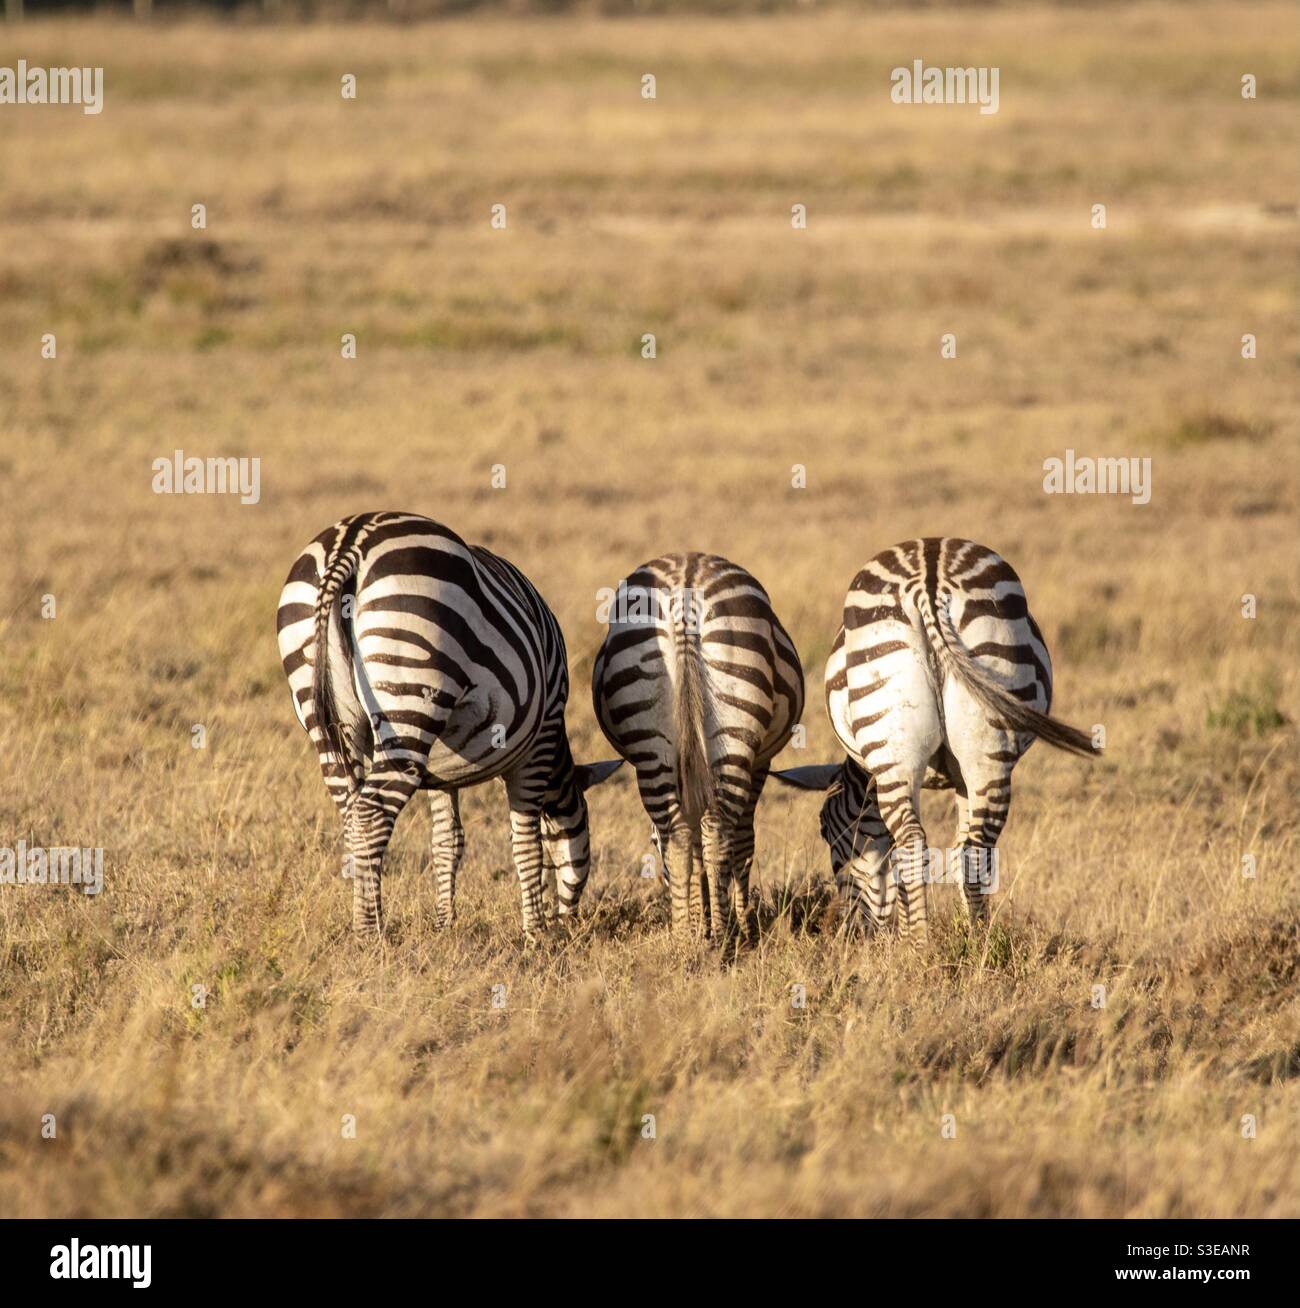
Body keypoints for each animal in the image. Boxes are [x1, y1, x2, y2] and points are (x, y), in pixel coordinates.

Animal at [276, 511, 621, 937]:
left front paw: (444, 923)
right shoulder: (538, 743)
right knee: (371, 814)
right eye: (585, 820)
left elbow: (447, 840)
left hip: (325, 711)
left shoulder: (441, 767)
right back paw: (370, 932)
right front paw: (536, 932)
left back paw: (366, 916)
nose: (570, 922)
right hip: (410, 692)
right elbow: (526, 842)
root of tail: (351, 540)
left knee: (351, 812)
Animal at [591, 552, 804, 947]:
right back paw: (726, 937)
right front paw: (740, 922)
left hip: (650, 749)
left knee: (678, 835)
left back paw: (684, 939)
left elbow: (692, 844)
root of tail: (684, 584)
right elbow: (743, 843)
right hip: (735, 739)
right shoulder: (761, 763)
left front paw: (697, 919)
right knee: (719, 830)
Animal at [772, 537, 1099, 942]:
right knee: (973, 847)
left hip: (894, 746)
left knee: (914, 841)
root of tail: (930, 578)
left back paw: (919, 945)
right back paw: (973, 942)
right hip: (987, 745)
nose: (849, 931)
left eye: (824, 826)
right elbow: (957, 846)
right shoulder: (959, 778)